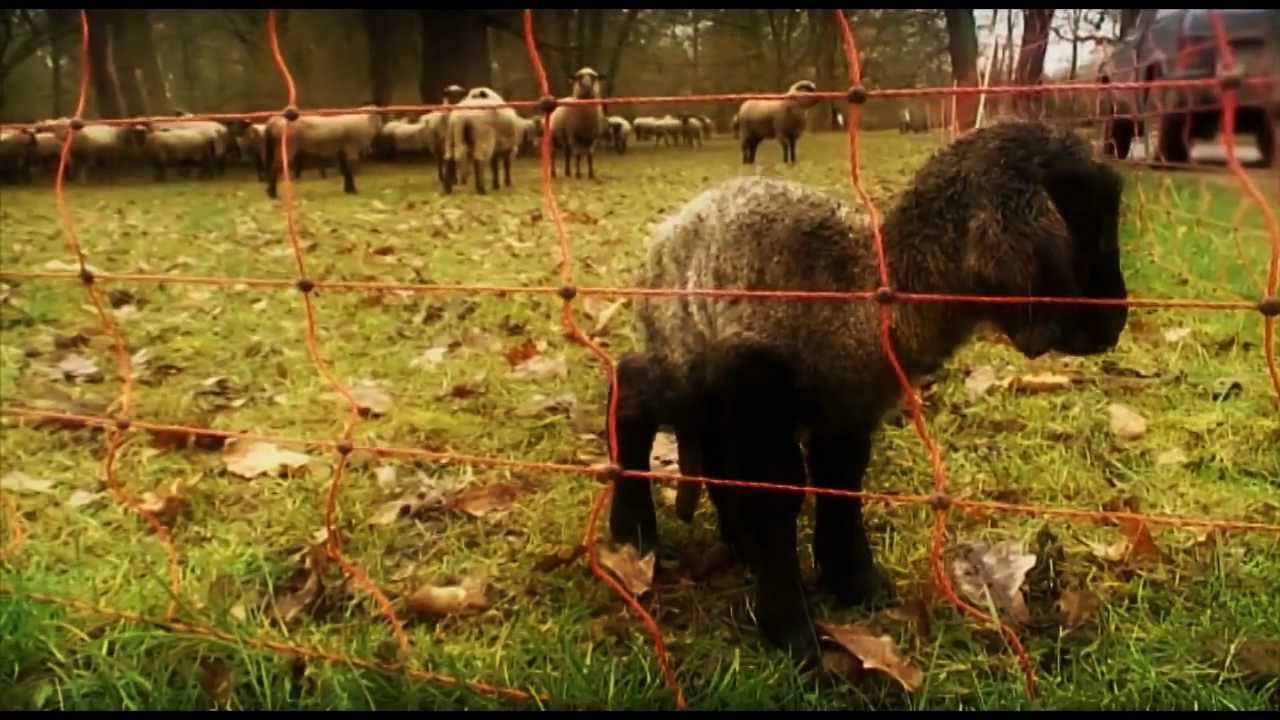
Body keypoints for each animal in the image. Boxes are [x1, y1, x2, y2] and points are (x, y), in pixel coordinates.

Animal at [606, 121, 1129, 660]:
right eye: (1083, 228)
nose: (1116, 323)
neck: (870, 297)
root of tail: (667, 232)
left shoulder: (847, 410)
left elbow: (842, 485)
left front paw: (855, 581)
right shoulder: (761, 392)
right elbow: (778, 500)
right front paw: (790, 628)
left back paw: (731, 539)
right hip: (685, 360)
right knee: (631, 387)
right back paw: (633, 530)